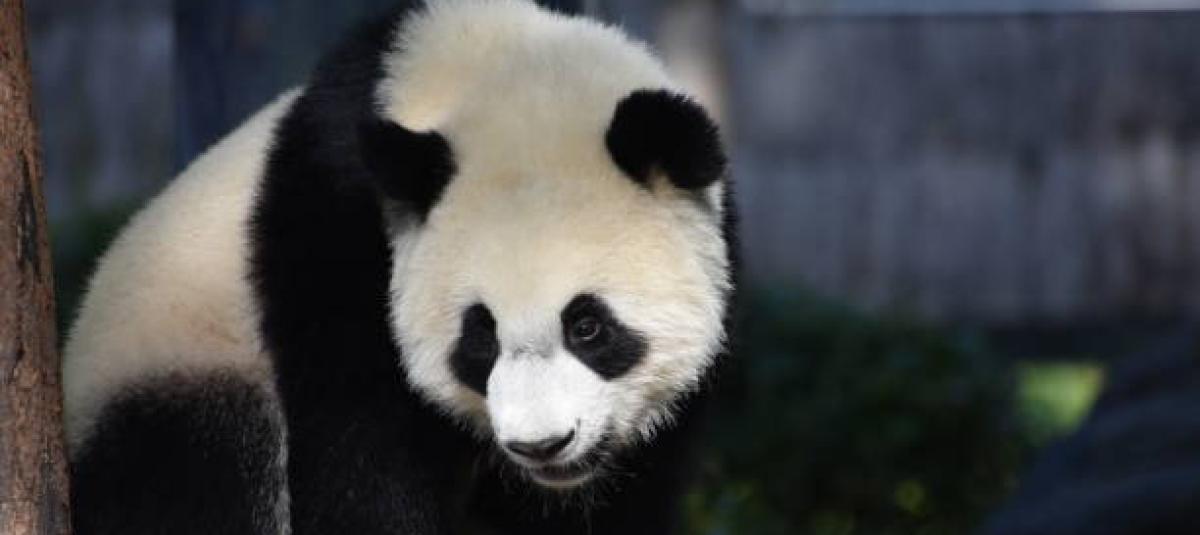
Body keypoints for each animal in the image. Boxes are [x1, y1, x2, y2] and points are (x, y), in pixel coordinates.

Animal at [62, 1, 735, 533]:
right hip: (176, 364)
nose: (543, 445)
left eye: (587, 326)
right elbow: (358, 454)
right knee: (196, 471)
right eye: (480, 335)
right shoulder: (339, 236)